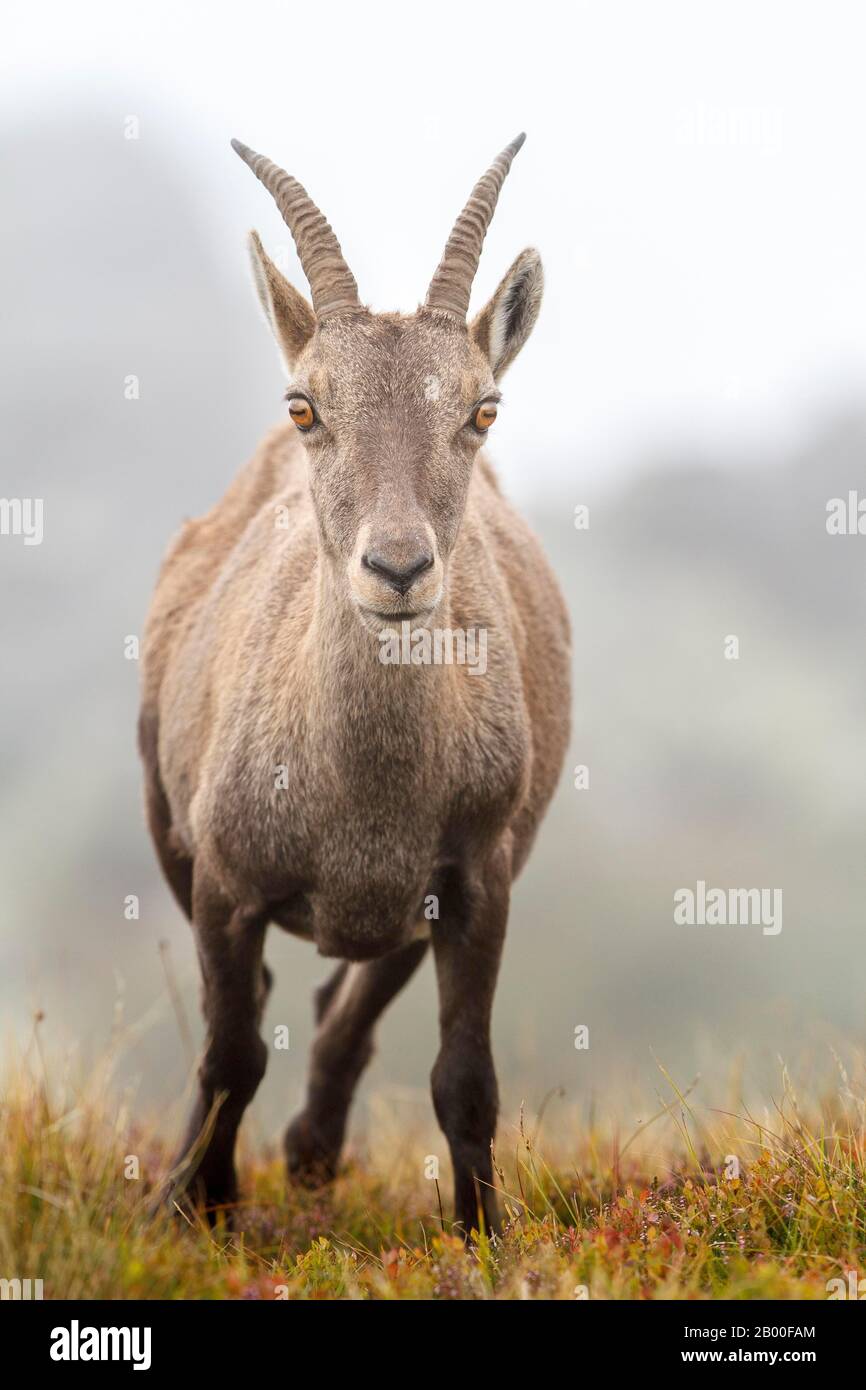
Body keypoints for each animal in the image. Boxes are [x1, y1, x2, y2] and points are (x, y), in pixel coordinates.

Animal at [139, 134, 571, 1235]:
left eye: (481, 408)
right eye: (306, 406)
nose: (399, 567)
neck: (358, 797)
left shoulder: (478, 880)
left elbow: (465, 1078)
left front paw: (482, 1233)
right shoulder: (221, 876)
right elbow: (230, 1050)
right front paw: (194, 1207)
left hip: (413, 911)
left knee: (344, 1011)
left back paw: (312, 1151)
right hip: (164, 818)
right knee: (259, 1011)